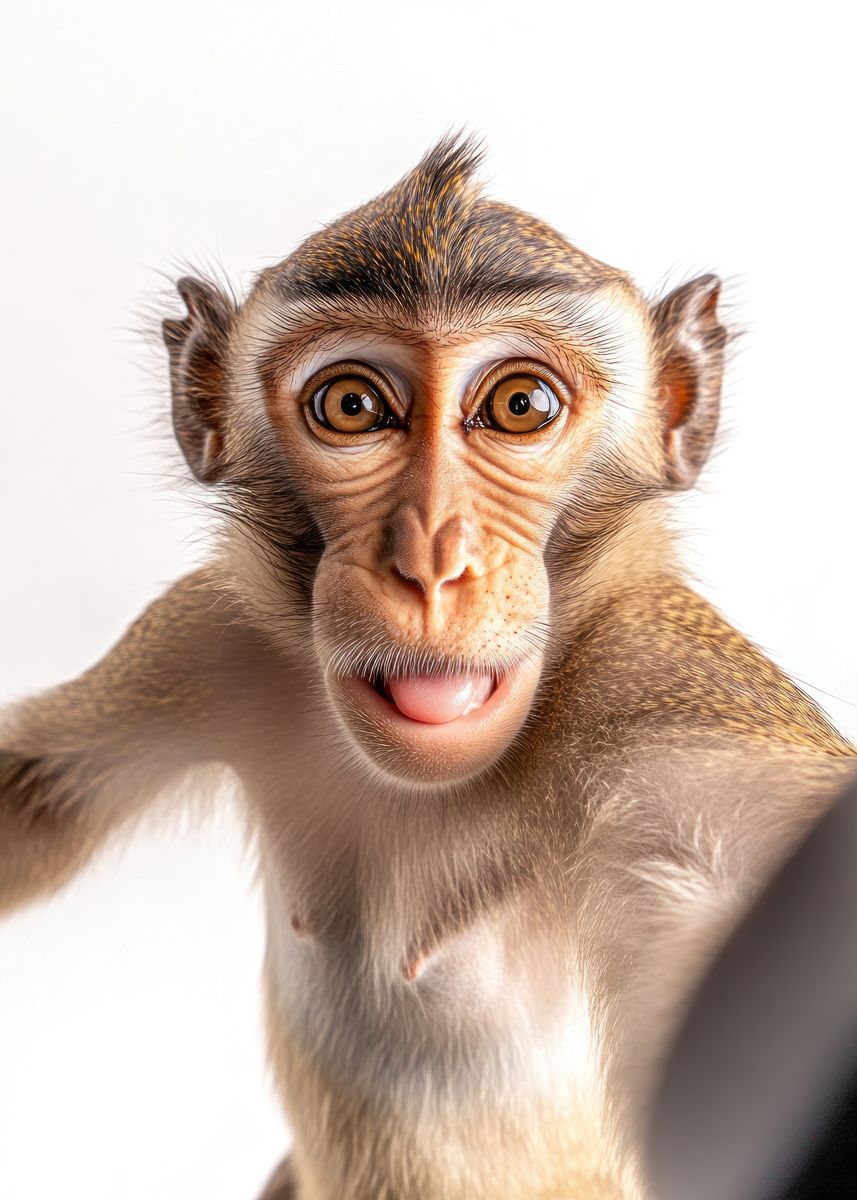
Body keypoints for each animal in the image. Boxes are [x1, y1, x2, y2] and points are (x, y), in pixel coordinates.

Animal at [1, 135, 854, 1200]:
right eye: (352, 405)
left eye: (521, 406)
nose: (430, 559)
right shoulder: (207, 634)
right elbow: (36, 791)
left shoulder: (667, 700)